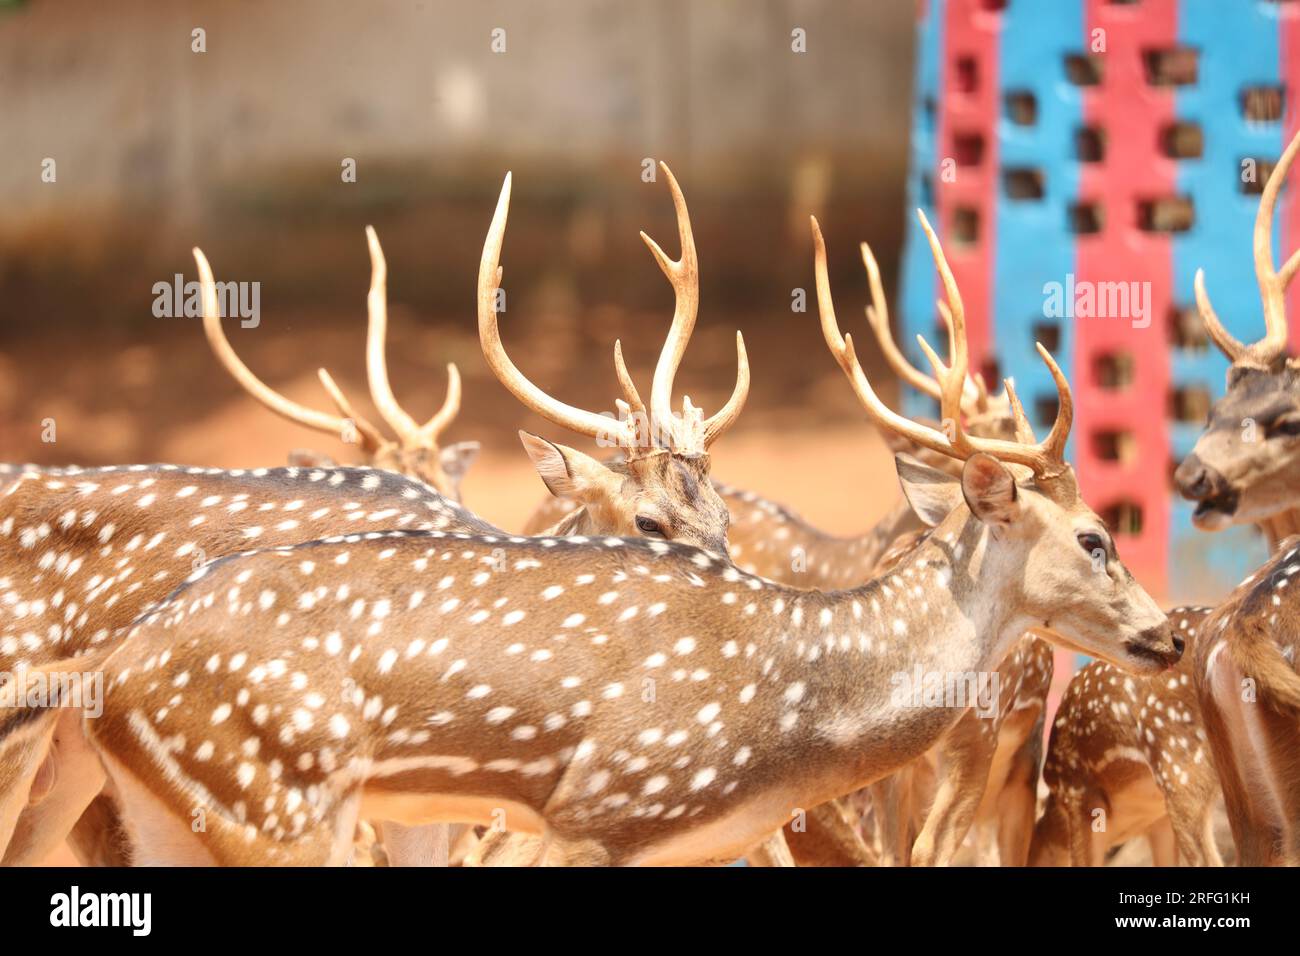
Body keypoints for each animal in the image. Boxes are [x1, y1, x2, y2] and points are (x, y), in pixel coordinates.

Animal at [36, 206, 1177, 867]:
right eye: (1095, 536)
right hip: (275, 801)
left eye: (724, 515)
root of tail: (109, 669)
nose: (1170, 632)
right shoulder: (603, 808)